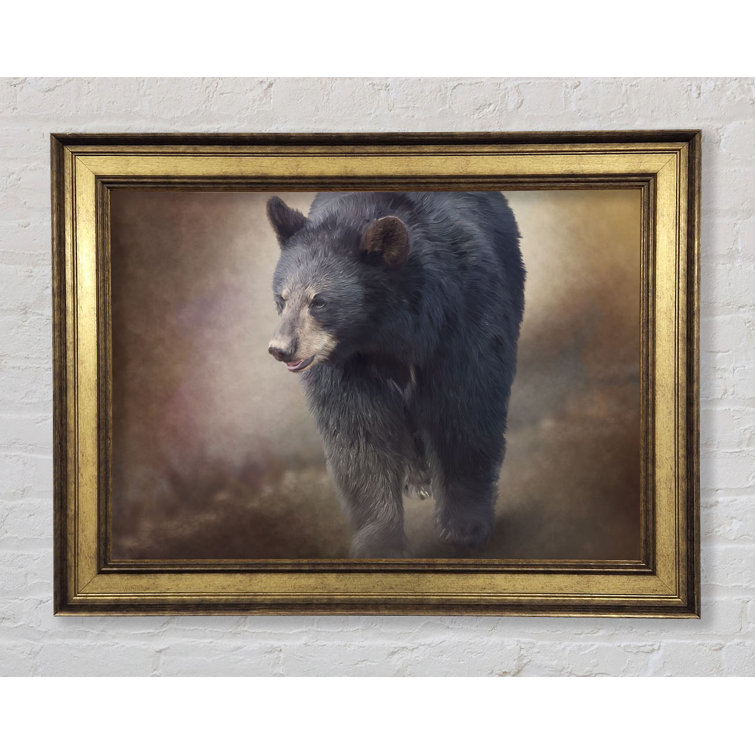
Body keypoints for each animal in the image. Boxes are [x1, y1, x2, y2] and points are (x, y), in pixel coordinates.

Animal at [266, 191, 525, 558]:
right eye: (282, 298)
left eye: (319, 301)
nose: (281, 348)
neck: (386, 329)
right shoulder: (349, 364)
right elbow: (358, 431)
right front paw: (380, 542)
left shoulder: (463, 315)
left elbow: (465, 408)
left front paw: (464, 524)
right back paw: (416, 478)